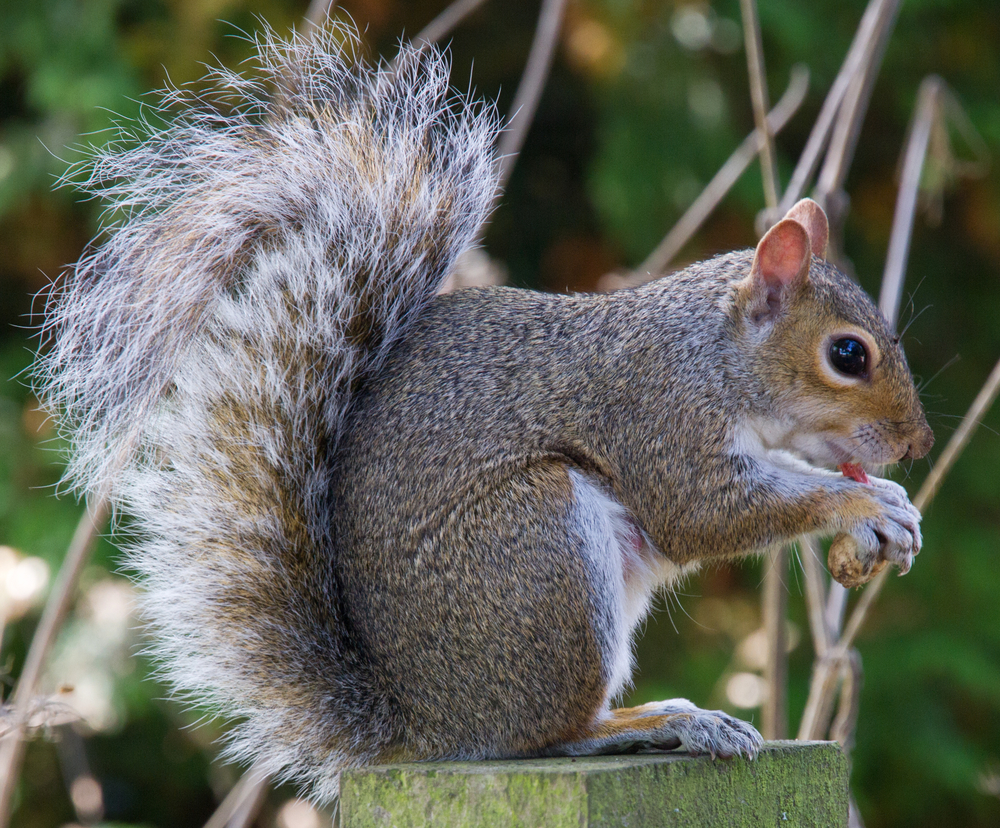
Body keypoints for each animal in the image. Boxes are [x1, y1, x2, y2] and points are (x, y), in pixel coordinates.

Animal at [36, 25, 933, 802]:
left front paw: (888, 503)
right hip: (538, 544)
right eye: (848, 354)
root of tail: (428, 726)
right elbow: (705, 512)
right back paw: (659, 723)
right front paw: (862, 505)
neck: (715, 354)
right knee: (545, 735)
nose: (918, 443)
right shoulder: (660, 415)